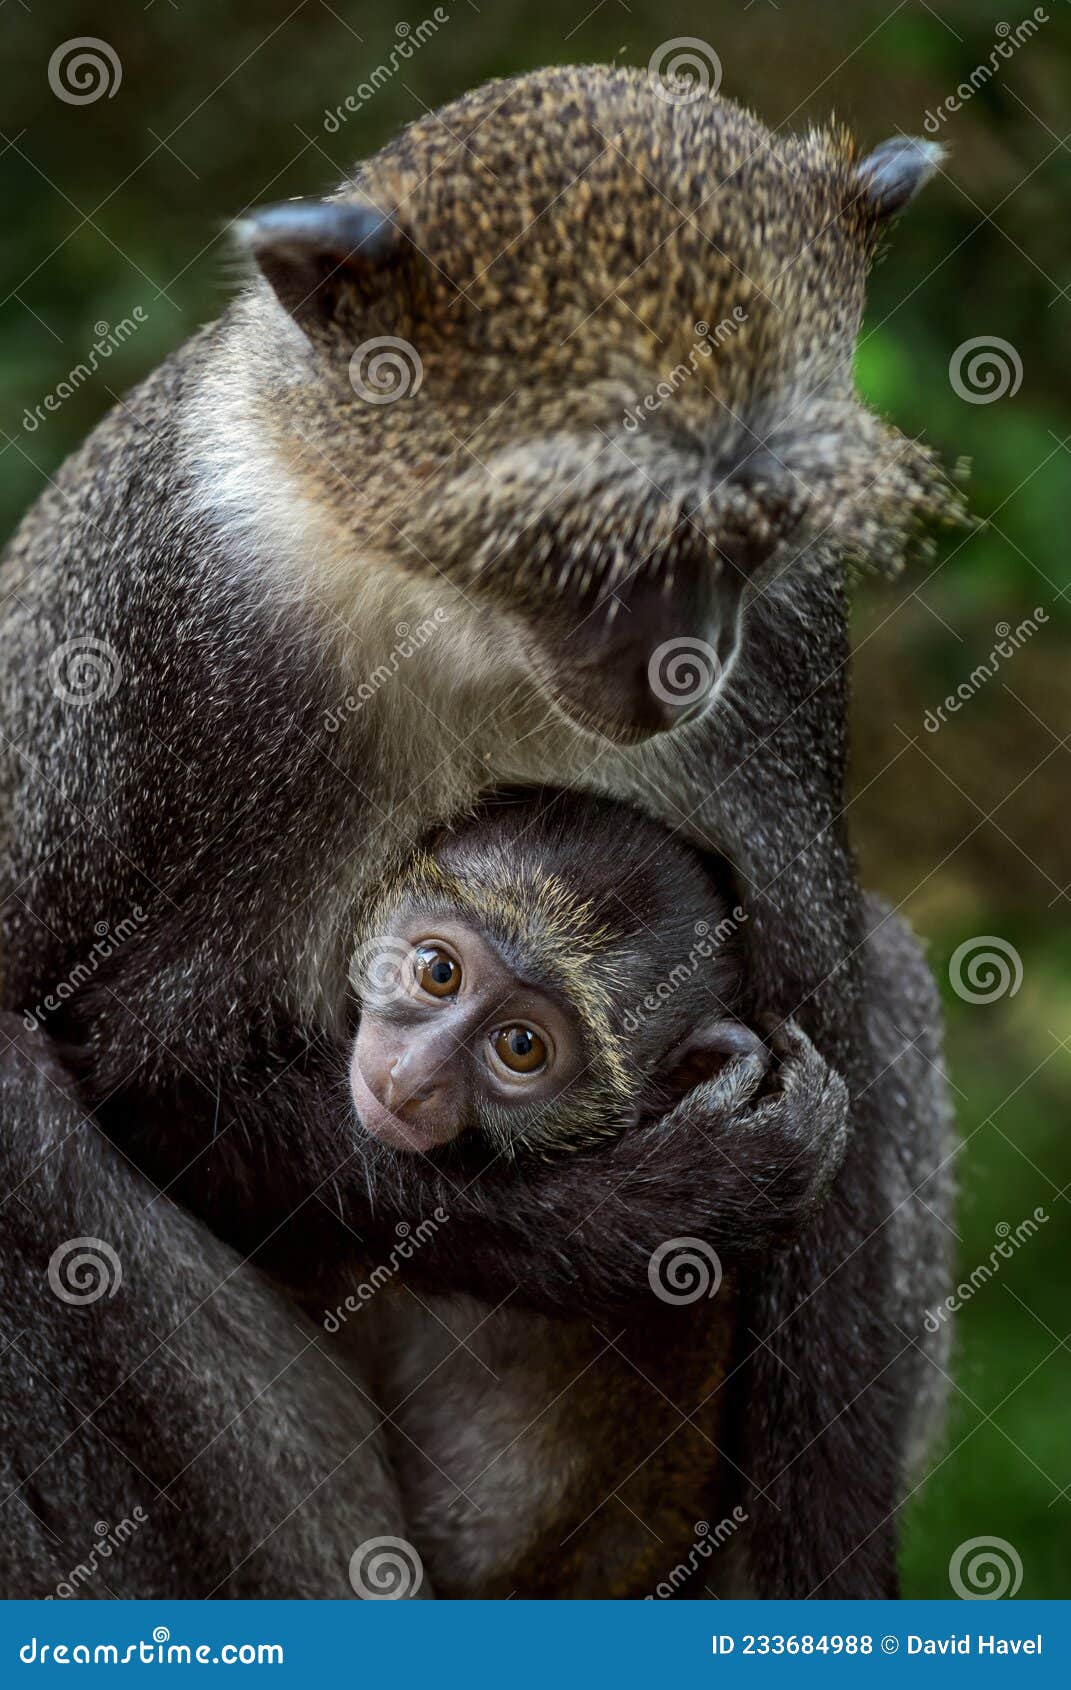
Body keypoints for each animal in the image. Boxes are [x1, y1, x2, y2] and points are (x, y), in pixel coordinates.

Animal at [0, 66, 960, 1596]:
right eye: (593, 543)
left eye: (741, 539)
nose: (686, 658)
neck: (450, 602)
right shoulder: (192, 633)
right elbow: (150, 1071)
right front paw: (645, 1212)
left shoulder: (787, 654)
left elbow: (836, 1030)